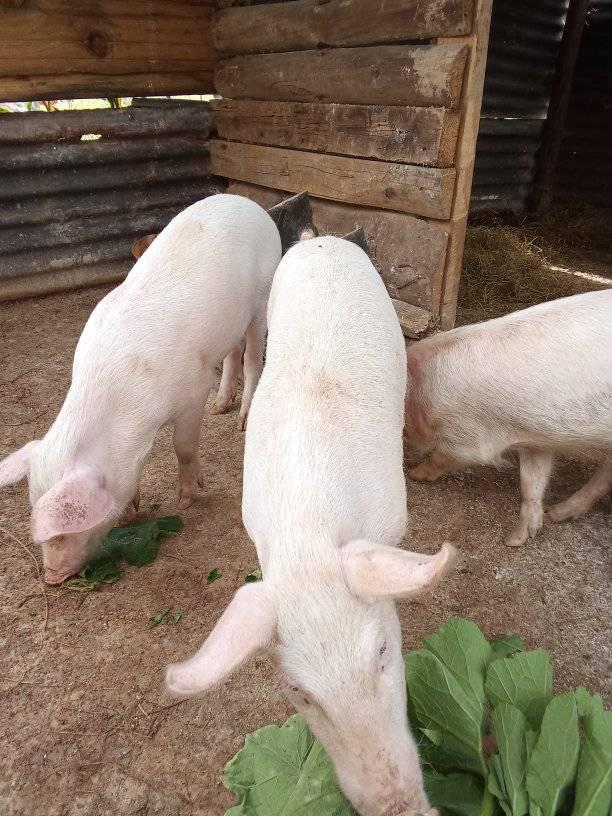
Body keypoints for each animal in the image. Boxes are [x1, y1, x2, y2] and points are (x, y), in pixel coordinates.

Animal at [0, 194, 283, 584]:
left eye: (65, 529)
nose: (51, 578)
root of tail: (248, 202)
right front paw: (134, 508)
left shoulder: (193, 389)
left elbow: (184, 447)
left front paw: (186, 500)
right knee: (233, 352)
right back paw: (220, 406)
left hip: (261, 298)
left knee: (254, 356)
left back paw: (242, 419)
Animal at [405, 290, 612, 547]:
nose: (407, 459)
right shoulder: (537, 441)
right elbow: (532, 483)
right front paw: (516, 539)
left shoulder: (468, 437)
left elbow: (442, 457)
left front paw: (415, 474)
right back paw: (556, 514)